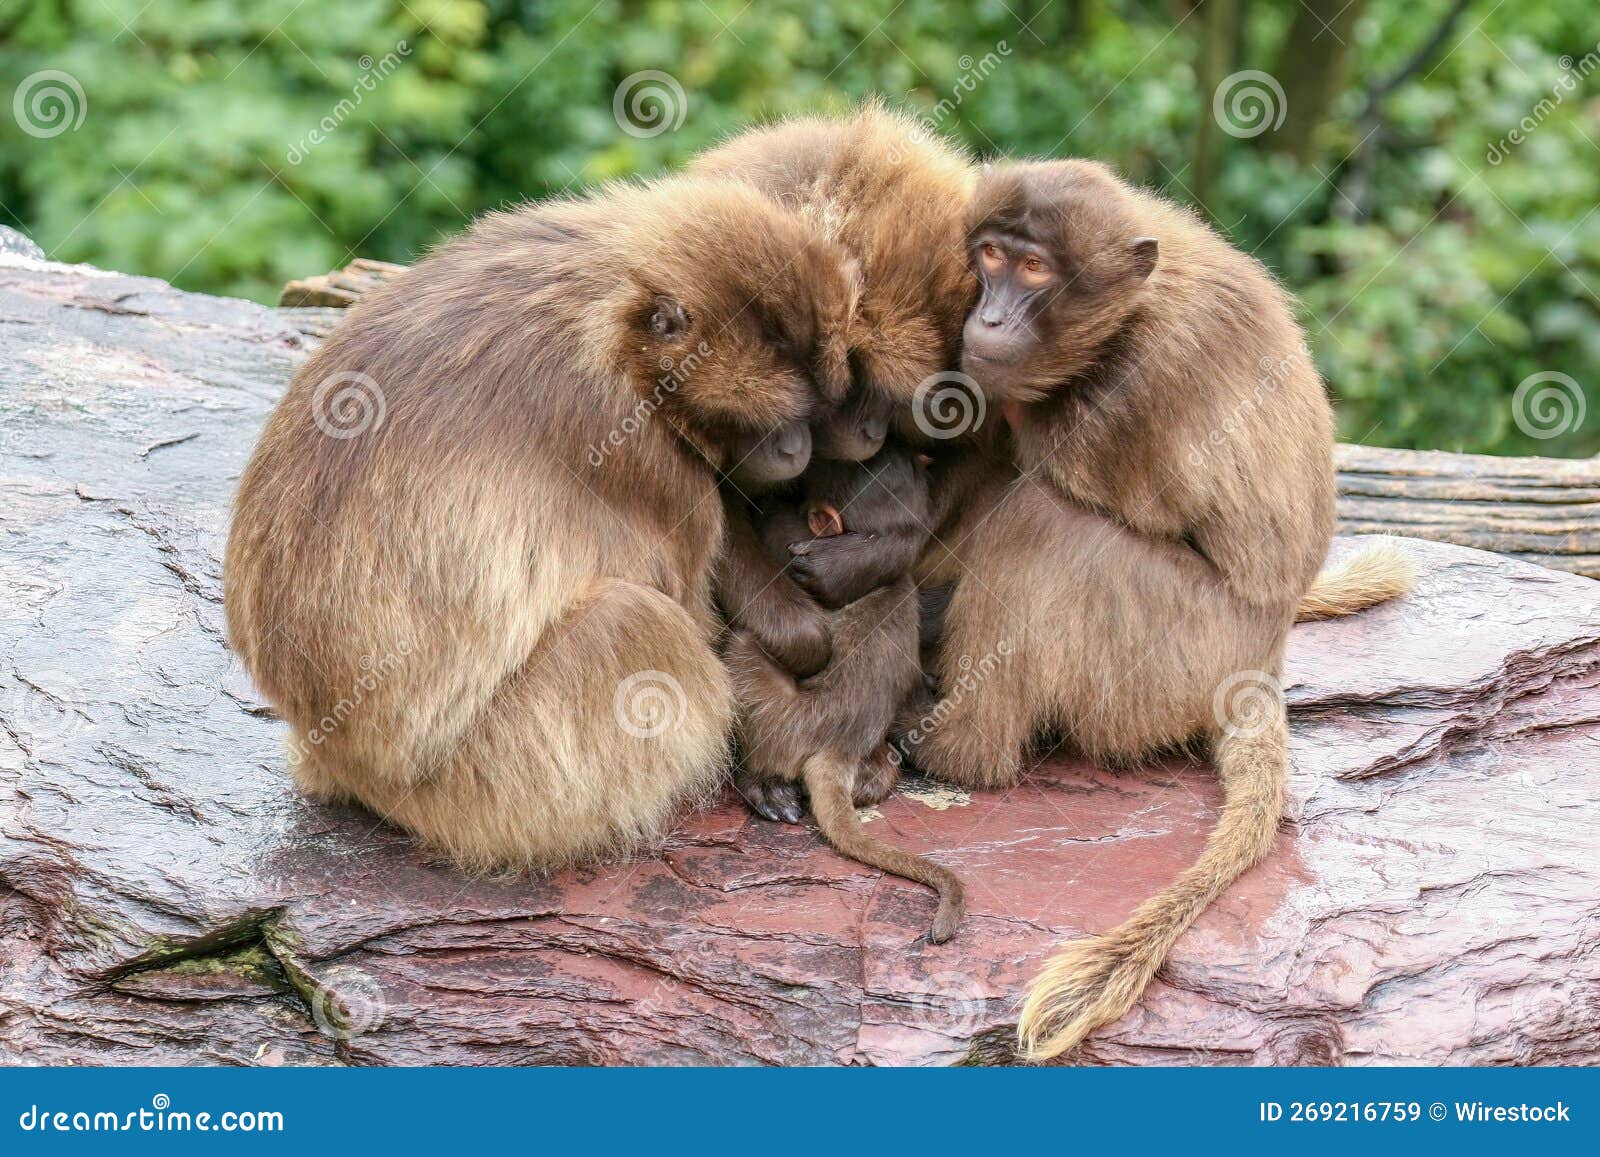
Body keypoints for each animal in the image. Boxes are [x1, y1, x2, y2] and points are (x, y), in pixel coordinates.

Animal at [223, 175, 860, 873]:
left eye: (813, 408)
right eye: (773, 417)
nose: (798, 448)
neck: (608, 316)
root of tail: (335, 757)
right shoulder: (636, 445)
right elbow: (687, 606)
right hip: (492, 786)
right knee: (632, 621)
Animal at [909, 159, 1414, 1059]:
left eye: (1033, 269)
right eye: (990, 255)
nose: (988, 316)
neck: (1126, 315)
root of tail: (1262, 661)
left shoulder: (1127, 392)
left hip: (1173, 653)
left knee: (1042, 524)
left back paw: (956, 755)